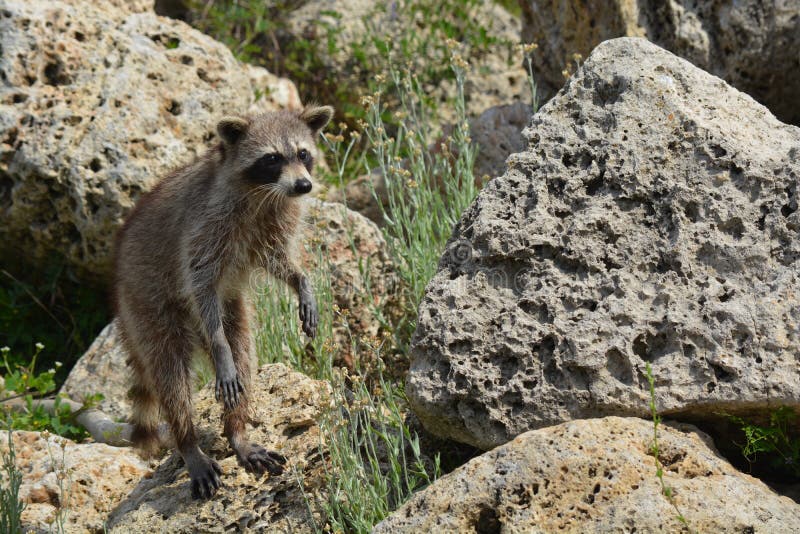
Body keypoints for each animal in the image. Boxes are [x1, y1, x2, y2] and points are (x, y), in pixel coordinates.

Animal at [113, 105, 333, 499]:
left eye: (303, 153)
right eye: (272, 158)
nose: (304, 186)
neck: (262, 192)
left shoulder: (276, 219)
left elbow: (279, 261)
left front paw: (302, 282)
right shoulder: (207, 224)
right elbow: (201, 280)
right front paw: (219, 350)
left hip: (231, 310)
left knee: (243, 352)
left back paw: (237, 432)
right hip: (147, 303)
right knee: (171, 374)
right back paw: (188, 441)